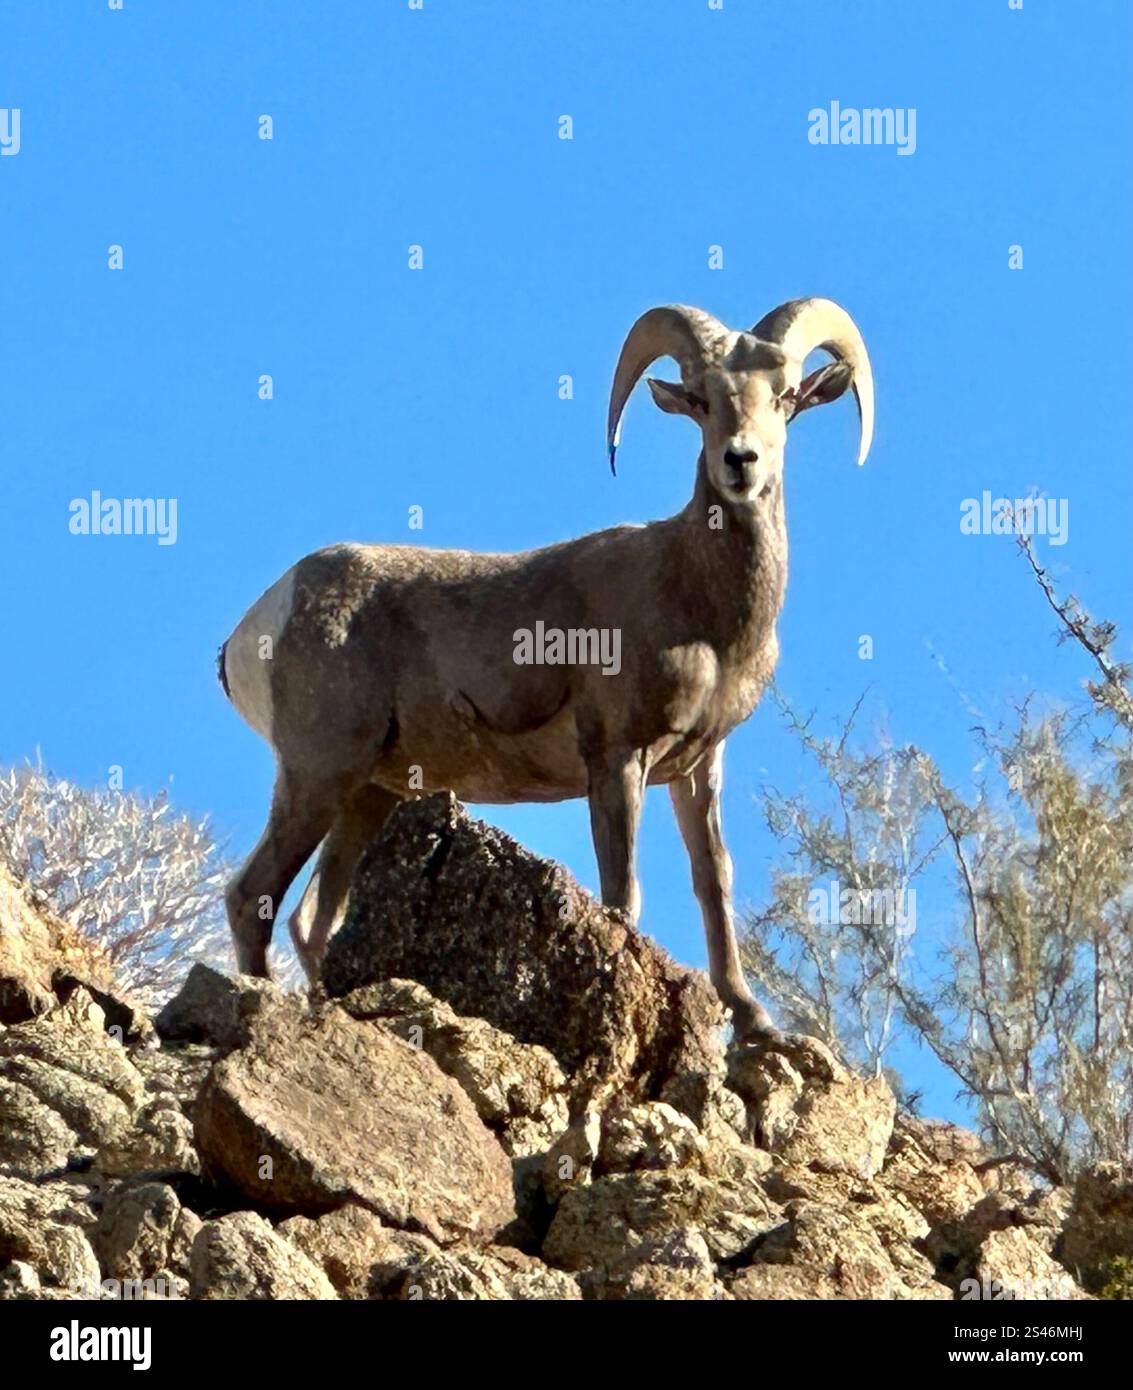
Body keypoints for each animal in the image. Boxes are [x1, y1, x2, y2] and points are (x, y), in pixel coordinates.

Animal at [218, 298, 874, 1042]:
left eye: (785, 397)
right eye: (702, 399)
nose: (741, 461)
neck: (697, 602)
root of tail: (257, 623)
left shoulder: (696, 768)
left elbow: (714, 882)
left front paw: (754, 1020)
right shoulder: (617, 760)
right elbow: (623, 891)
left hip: (367, 794)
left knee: (312, 918)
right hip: (316, 775)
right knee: (252, 897)